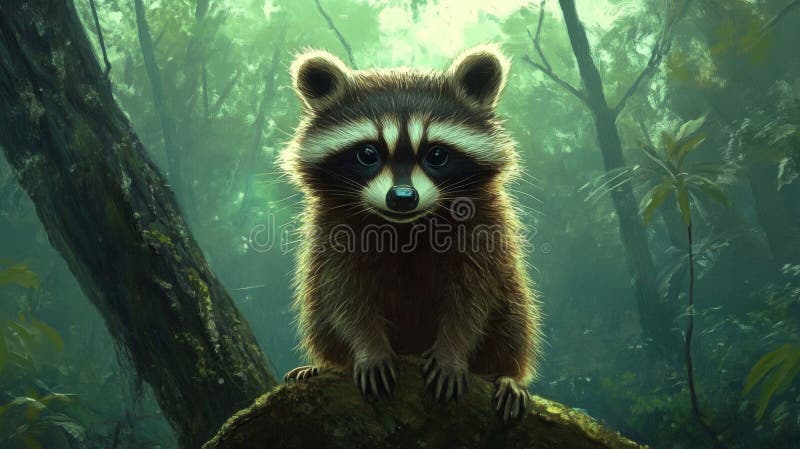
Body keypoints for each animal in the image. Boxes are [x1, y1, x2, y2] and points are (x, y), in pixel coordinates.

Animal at [280, 45, 542, 422]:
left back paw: (506, 374)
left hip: (512, 299)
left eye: (437, 155)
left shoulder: (485, 226)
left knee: (513, 316)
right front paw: (369, 349)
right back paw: (326, 365)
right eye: (367, 154)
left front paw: (452, 353)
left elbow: (474, 296)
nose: (403, 198)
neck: (404, 226)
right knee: (320, 312)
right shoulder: (331, 229)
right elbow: (343, 293)